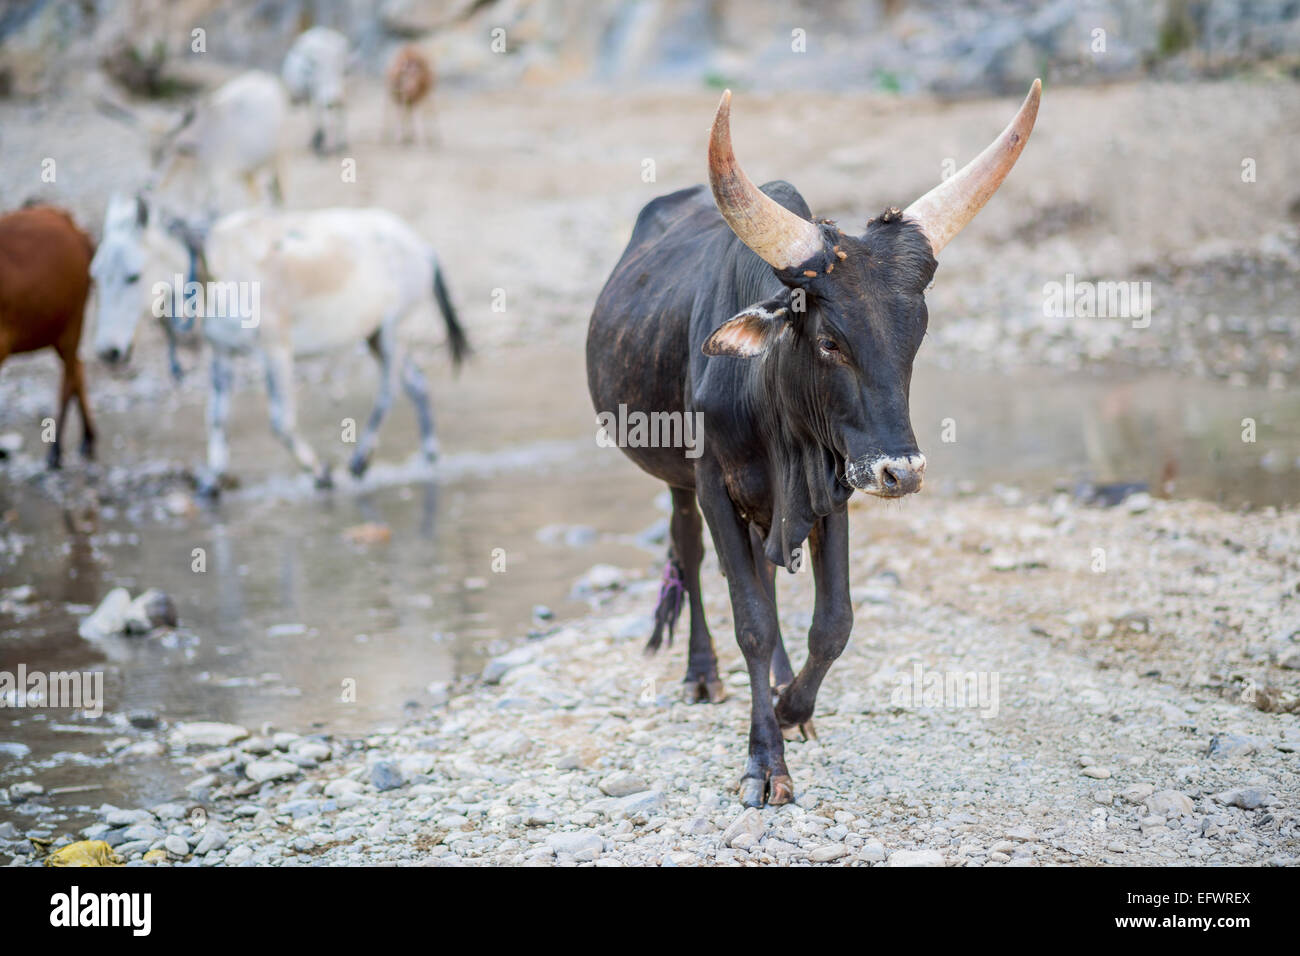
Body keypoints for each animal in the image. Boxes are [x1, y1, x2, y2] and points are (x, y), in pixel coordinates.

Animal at [0, 205, 97, 468]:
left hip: (73, 319)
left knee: (69, 378)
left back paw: (56, 451)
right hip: (55, 328)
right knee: (79, 368)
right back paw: (88, 438)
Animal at [90, 193, 469, 494]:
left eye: (133, 276)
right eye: (95, 276)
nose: (108, 352)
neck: (223, 271)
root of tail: (421, 245)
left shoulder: (276, 349)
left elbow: (280, 421)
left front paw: (319, 472)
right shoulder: (221, 352)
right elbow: (216, 417)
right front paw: (213, 480)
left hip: (389, 331)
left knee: (389, 389)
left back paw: (361, 459)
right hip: (374, 334)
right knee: (417, 383)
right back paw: (429, 454)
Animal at [282, 27, 350, 155]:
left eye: (343, 69)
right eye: (312, 66)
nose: (333, 99)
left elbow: (340, 116)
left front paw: (341, 144)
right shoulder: (315, 95)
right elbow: (318, 116)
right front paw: (319, 143)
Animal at [586, 82, 1040, 807]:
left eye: (916, 333)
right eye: (831, 341)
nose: (902, 473)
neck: (774, 411)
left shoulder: (835, 487)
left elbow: (833, 623)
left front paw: (791, 705)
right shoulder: (715, 488)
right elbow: (751, 620)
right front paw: (764, 761)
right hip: (680, 484)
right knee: (688, 554)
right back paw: (702, 674)